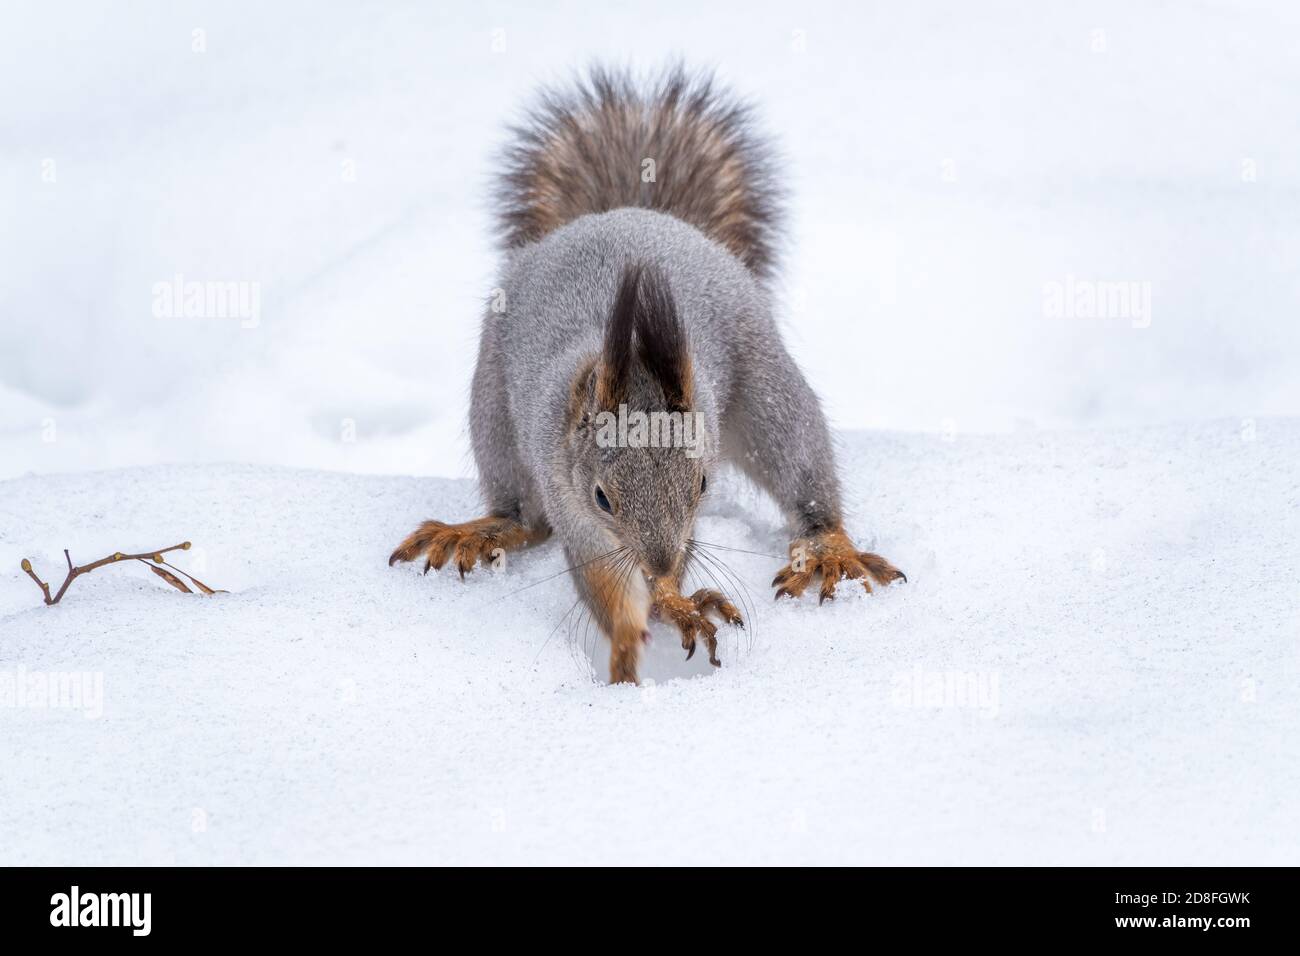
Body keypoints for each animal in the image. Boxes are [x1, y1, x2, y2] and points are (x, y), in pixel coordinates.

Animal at [389, 65, 906, 683]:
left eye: (702, 483)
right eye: (602, 498)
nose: (658, 560)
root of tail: (639, 214)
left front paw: (670, 598)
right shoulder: (567, 490)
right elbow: (599, 579)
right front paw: (631, 644)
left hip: (769, 389)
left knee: (803, 473)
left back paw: (828, 551)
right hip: (493, 411)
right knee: (525, 516)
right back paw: (482, 529)